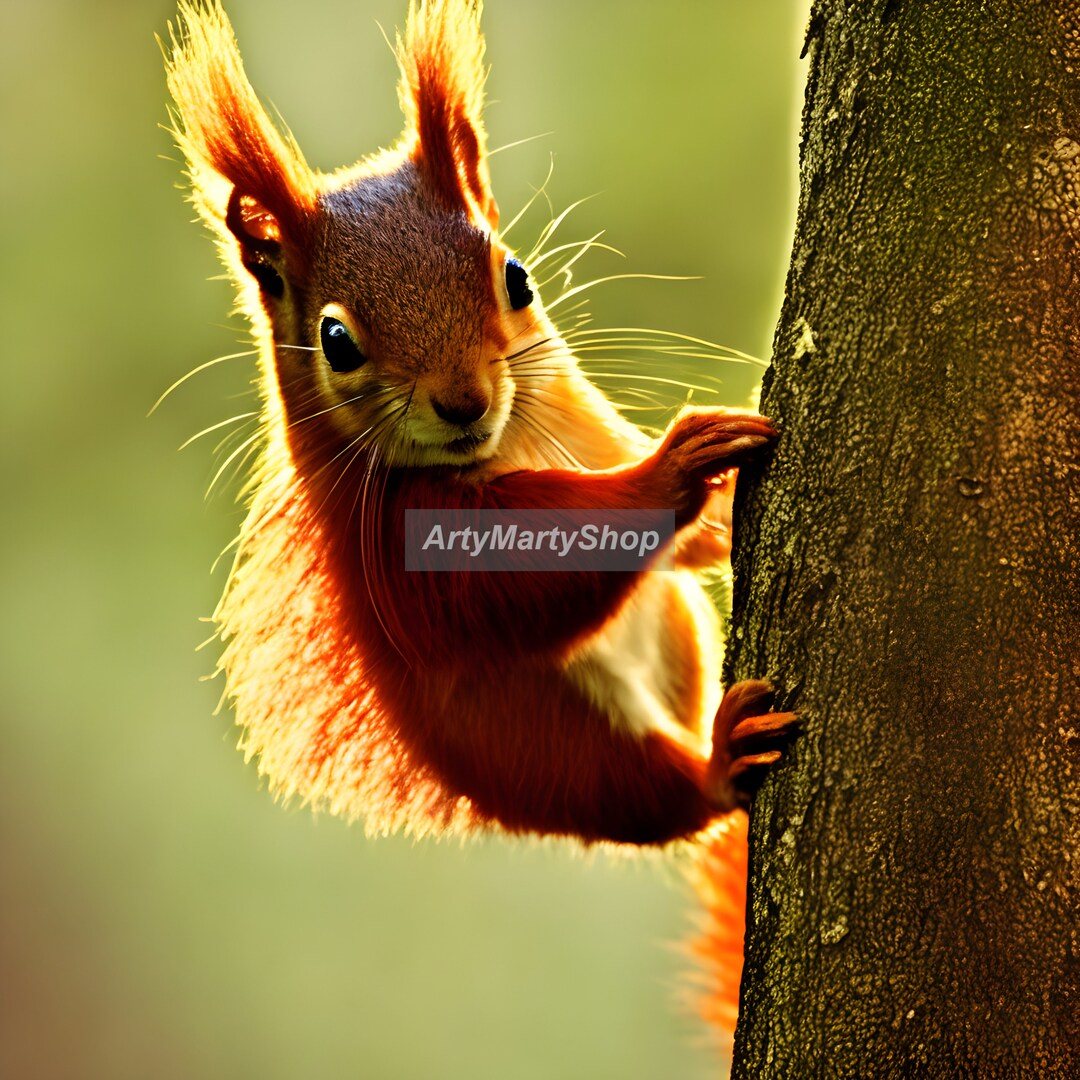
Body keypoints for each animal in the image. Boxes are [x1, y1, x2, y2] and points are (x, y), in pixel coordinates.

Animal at [164, 1, 795, 847]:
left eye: (517, 278)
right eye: (336, 341)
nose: (463, 401)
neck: (510, 441)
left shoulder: (589, 427)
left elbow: (683, 543)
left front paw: (719, 504)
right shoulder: (399, 543)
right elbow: (519, 573)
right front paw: (675, 468)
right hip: (568, 758)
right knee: (672, 799)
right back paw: (721, 763)